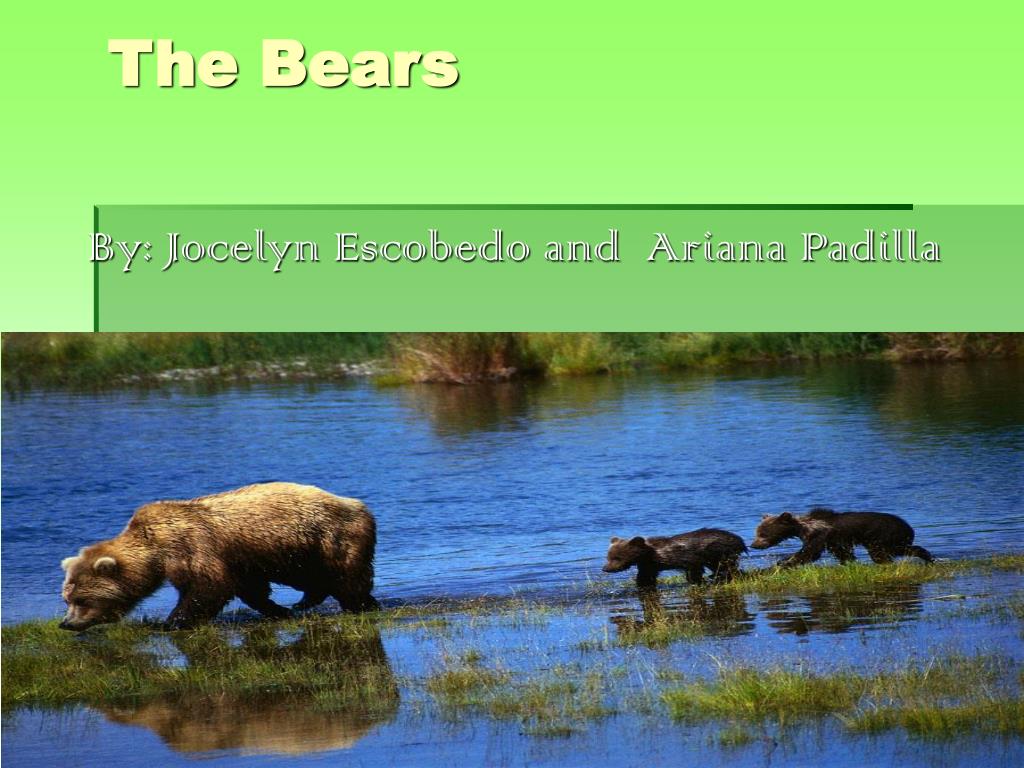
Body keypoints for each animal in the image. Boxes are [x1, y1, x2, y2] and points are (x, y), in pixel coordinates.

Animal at [59, 482, 378, 631]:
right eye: (67, 599)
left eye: (82, 600)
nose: (66, 624)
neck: (156, 549)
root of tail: (357, 503)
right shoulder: (241, 559)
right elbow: (249, 588)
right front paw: (276, 609)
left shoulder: (192, 546)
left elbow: (208, 586)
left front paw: (170, 622)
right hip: (298, 550)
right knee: (312, 577)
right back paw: (304, 602)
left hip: (328, 537)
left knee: (347, 576)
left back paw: (360, 604)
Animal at [602, 528, 748, 588]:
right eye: (608, 557)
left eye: (617, 557)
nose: (605, 568)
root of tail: (740, 540)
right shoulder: (649, 565)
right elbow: (645, 577)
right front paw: (642, 584)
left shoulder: (689, 557)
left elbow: (694, 570)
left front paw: (696, 581)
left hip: (719, 551)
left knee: (725, 566)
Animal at [750, 507, 934, 566]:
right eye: (757, 533)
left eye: (763, 533)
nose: (754, 545)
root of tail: (908, 527)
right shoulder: (834, 541)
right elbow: (843, 553)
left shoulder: (820, 535)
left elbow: (810, 553)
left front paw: (785, 561)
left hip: (883, 536)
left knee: (885, 552)